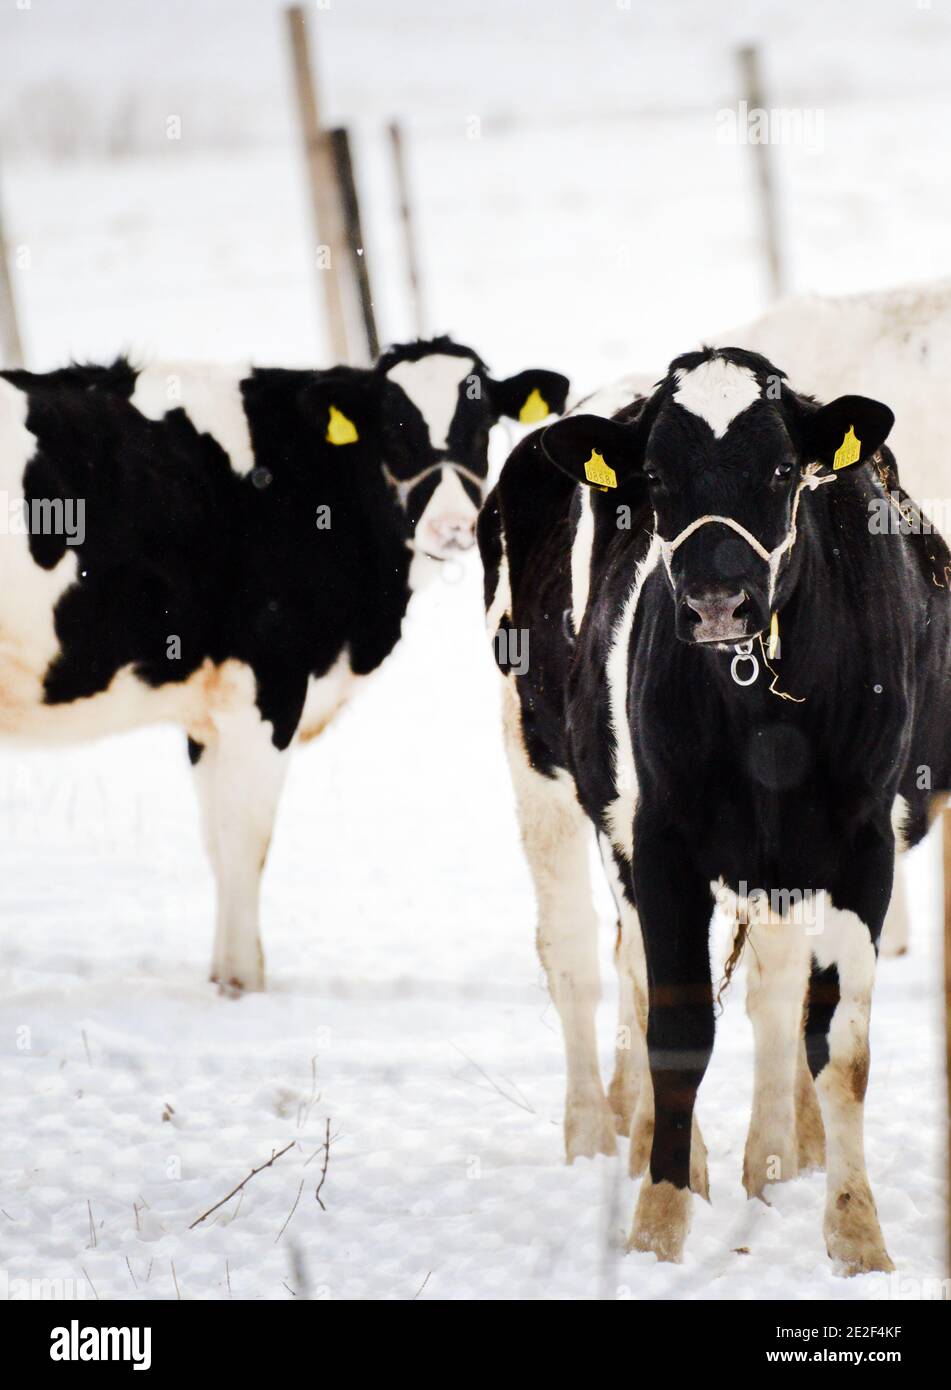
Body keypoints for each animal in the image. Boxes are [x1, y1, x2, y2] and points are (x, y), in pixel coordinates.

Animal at [0, 336, 569, 993]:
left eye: (481, 427)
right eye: (394, 429)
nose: (451, 526)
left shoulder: (210, 710)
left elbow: (218, 841)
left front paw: (222, 975)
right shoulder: (268, 682)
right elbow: (246, 840)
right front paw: (243, 982)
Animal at [479, 345, 951, 1272]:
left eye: (781, 470)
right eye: (656, 477)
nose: (715, 602)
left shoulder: (859, 847)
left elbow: (837, 1045)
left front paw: (855, 1236)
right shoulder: (661, 843)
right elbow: (676, 1030)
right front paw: (656, 1226)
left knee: (764, 987)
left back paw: (772, 1158)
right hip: (542, 769)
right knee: (583, 955)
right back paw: (604, 1135)